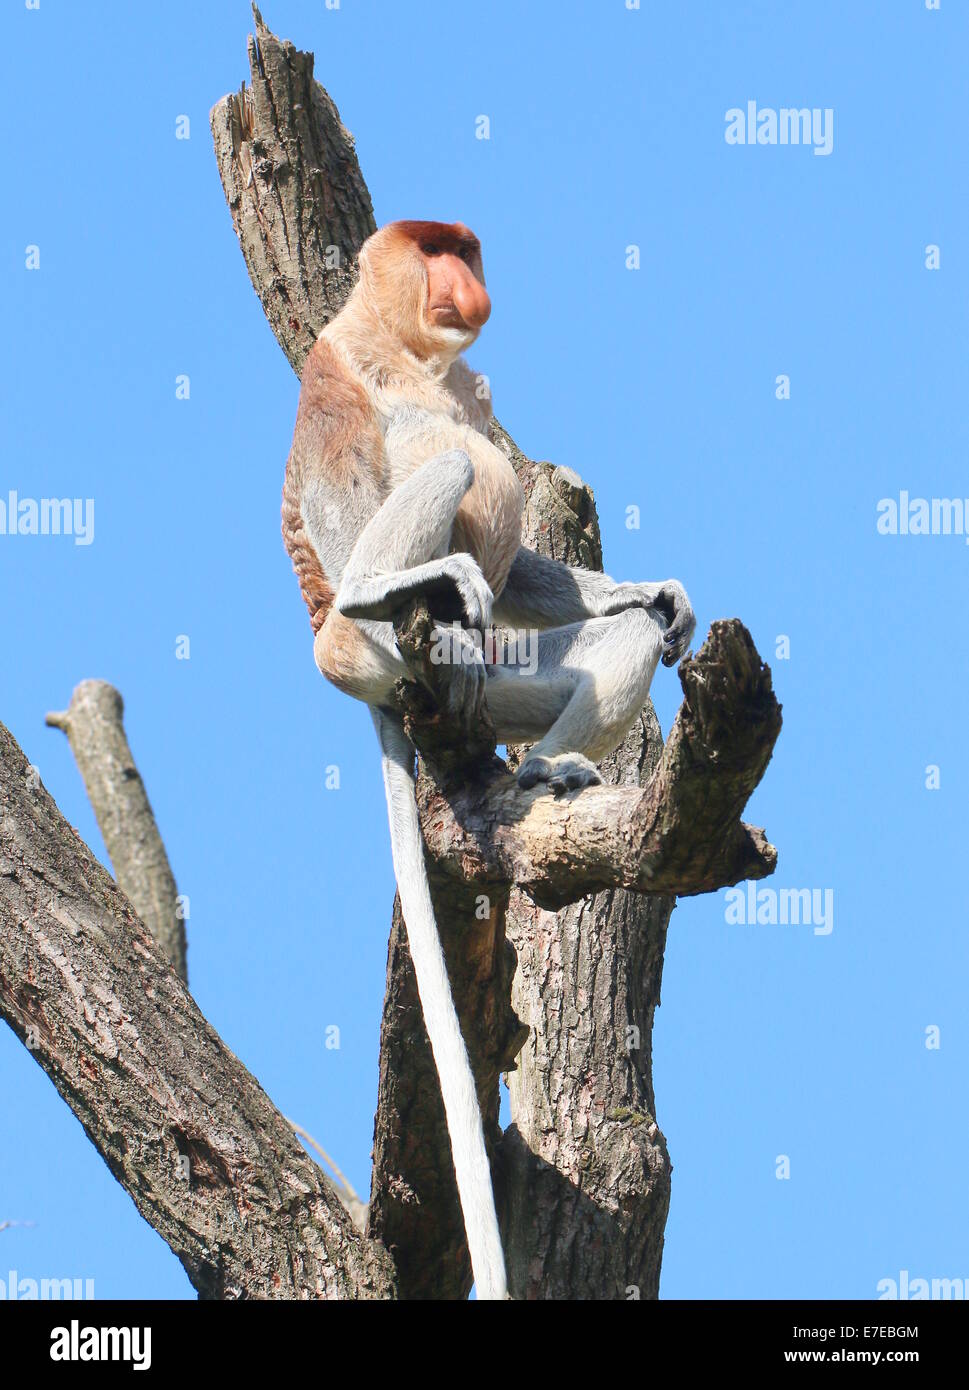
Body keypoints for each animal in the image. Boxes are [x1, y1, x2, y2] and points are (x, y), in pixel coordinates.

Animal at [282, 220, 695, 1300]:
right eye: (438, 252)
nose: (465, 283)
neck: (411, 348)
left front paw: (656, 591)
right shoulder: (335, 364)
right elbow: (357, 463)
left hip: (496, 676)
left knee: (598, 648)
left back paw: (544, 774)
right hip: (371, 635)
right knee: (438, 481)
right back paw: (374, 602)